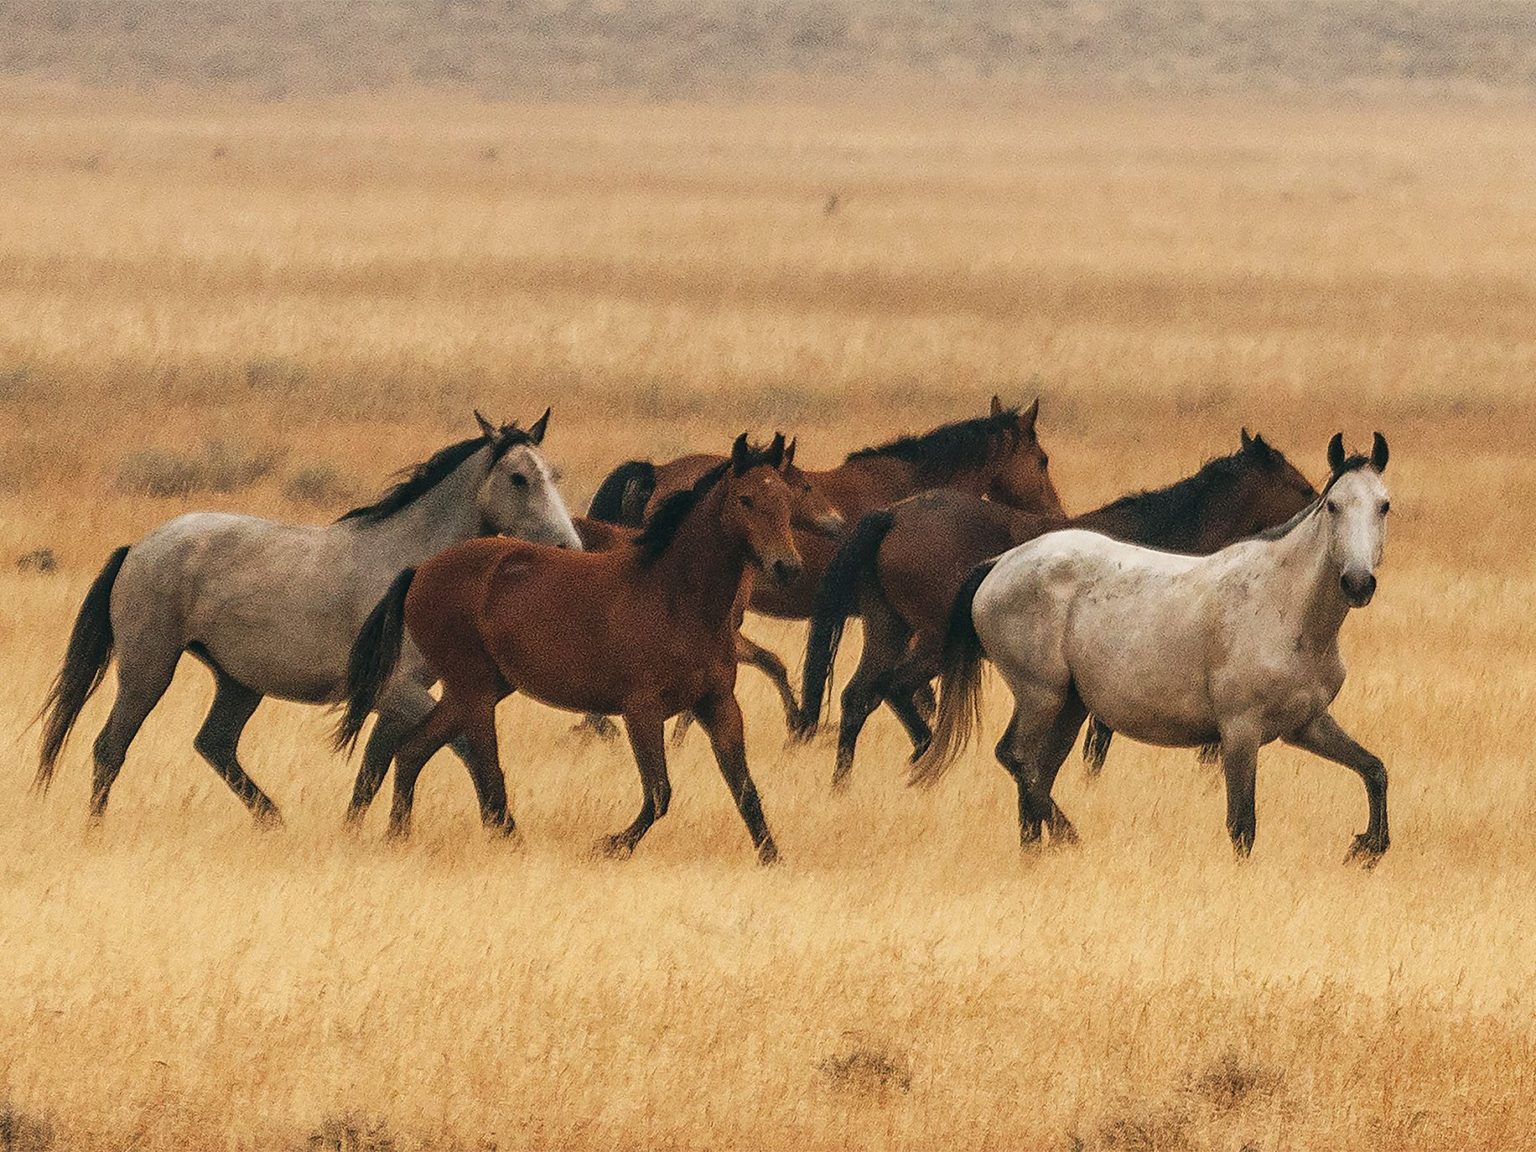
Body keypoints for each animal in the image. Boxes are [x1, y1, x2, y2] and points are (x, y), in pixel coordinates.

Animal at [36, 410, 582, 826]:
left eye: (555, 475)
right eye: (518, 478)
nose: (568, 549)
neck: (406, 564)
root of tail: (138, 547)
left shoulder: (393, 698)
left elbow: (373, 767)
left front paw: (352, 831)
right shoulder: (396, 691)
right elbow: (463, 746)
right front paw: (504, 826)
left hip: (238, 682)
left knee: (214, 744)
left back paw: (273, 821)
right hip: (147, 669)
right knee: (110, 746)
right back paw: (96, 827)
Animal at [334, 434, 802, 863]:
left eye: (786, 499)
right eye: (745, 499)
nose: (788, 567)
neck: (676, 599)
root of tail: (420, 571)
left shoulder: (719, 705)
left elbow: (745, 790)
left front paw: (772, 858)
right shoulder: (642, 711)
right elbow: (659, 793)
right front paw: (610, 845)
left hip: (474, 690)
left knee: (412, 750)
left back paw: (399, 836)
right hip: (475, 692)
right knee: (483, 769)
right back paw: (504, 842)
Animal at [800, 431, 1318, 787]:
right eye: (1297, 484)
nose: (1316, 506)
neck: (1165, 535)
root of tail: (894, 515)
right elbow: (1099, 741)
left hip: (886, 629)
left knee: (859, 696)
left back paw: (845, 782)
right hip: (928, 642)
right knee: (891, 689)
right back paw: (923, 757)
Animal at [911, 433, 1391, 865]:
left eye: (1384, 505)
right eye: (1332, 505)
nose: (1358, 583)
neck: (1287, 609)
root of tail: (1000, 564)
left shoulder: (1307, 725)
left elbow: (1374, 769)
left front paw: (1368, 847)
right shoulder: (1240, 731)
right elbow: (1242, 823)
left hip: (1069, 706)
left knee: (1037, 772)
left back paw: (1039, 853)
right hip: (1040, 695)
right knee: (1017, 760)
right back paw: (1066, 842)